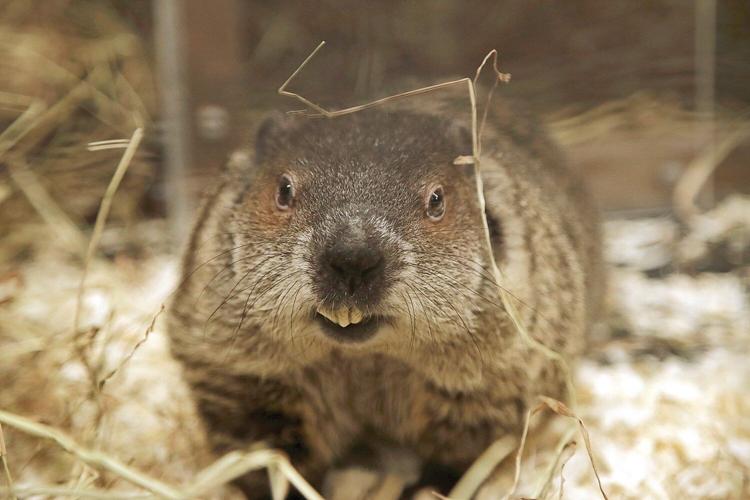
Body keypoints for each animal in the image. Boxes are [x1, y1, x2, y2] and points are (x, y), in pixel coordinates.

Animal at [167, 91, 604, 498]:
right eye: (284, 190)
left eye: (436, 200)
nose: (352, 256)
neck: (366, 361)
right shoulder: (239, 369)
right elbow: (261, 440)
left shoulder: (498, 371)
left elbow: (471, 442)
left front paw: (428, 487)